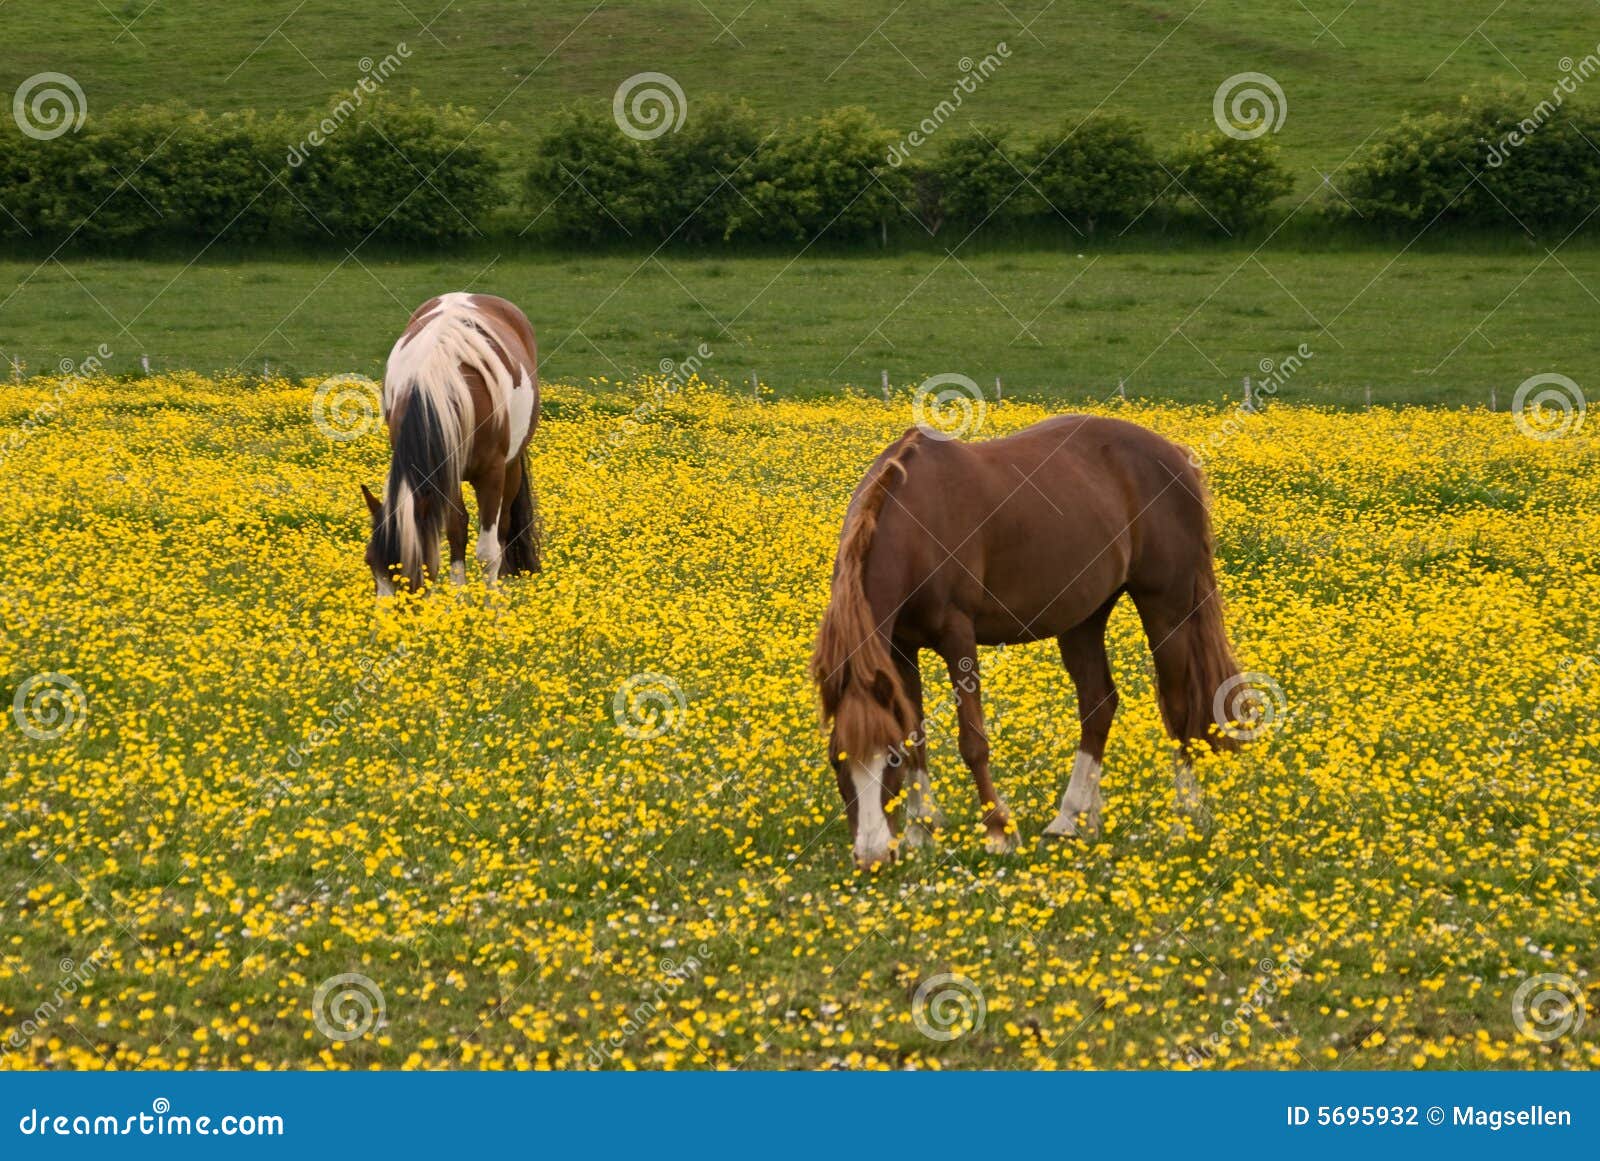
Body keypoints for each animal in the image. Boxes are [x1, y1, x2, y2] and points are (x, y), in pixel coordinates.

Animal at [361, 293, 542, 595]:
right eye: (369, 562)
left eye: (413, 571)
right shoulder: (447, 474)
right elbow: (456, 531)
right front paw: (457, 601)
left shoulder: (491, 474)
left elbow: (488, 551)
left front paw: (492, 604)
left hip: (512, 465)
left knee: (504, 527)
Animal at [809, 414, 1244, 870]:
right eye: (837, 760)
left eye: (888, 758)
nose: (872, 856)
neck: (917, 525)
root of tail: (1176, 455)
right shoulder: (900, 648)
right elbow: (917, 736)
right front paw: (920, 831)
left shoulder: (957, 636)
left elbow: (972, 742)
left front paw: (998, 832)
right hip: (1084, 618)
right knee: (1098, 704)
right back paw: (1072, 819)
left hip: (1165, 608)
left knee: (1177, 710)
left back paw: (1183, 818)